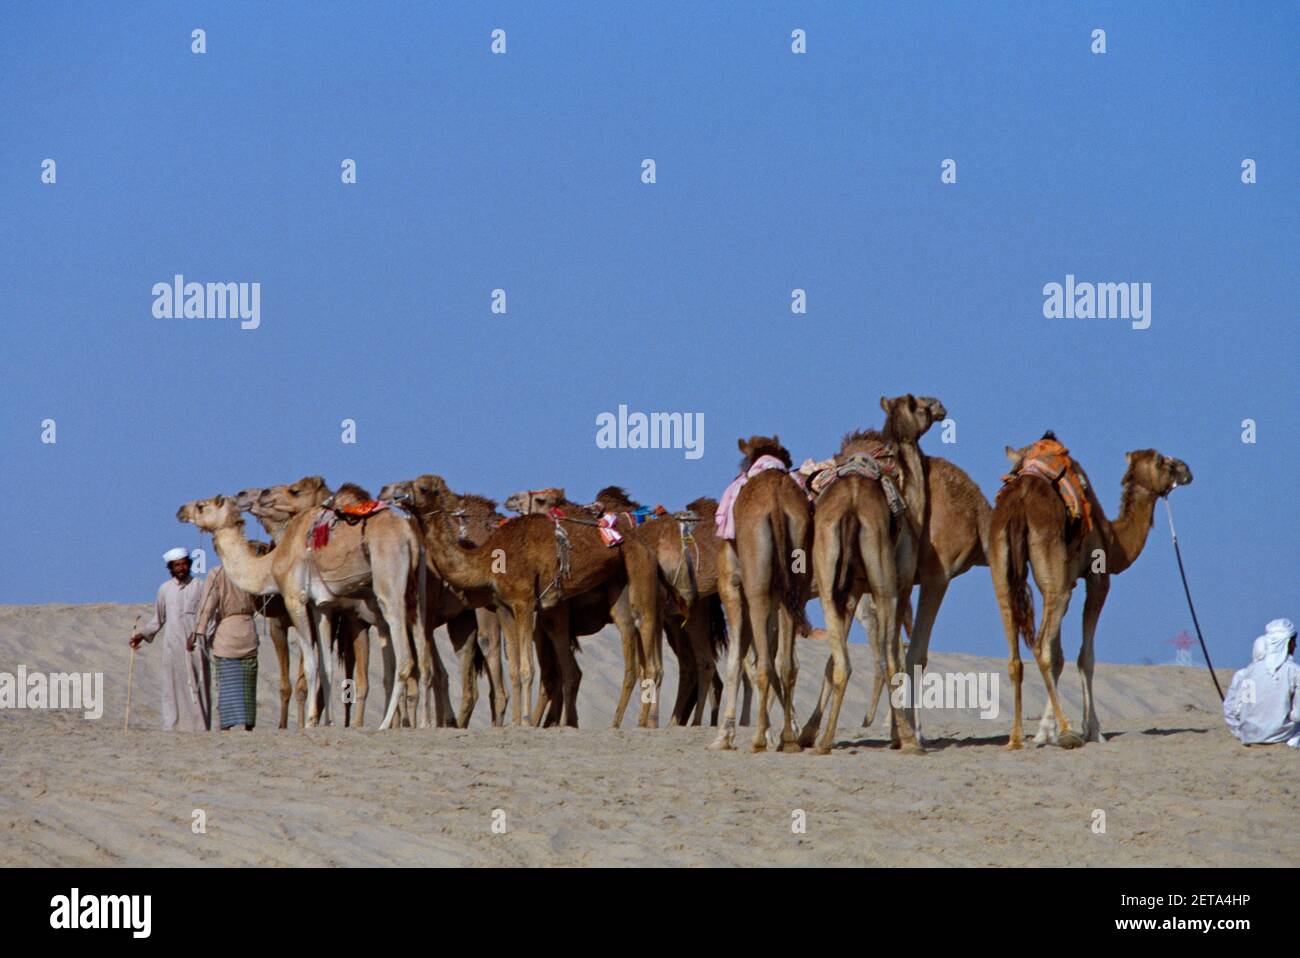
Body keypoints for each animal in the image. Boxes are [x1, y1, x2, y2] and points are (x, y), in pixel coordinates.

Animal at [177, 483, 427, 729]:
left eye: (202, 506)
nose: (181, 510)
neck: (272, 563)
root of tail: (409, 536)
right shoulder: (321, 605)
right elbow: (326, 667)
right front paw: (326, 722)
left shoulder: (294, 598)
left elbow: (310, 665)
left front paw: (309, 721)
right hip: (416, 595)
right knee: (422, 659)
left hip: (389, 581)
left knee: (404, 658)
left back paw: (385, 724)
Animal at [709, 435, 811, 752]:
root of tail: (777, 502)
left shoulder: (731, 586)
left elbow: (734, 664)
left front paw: (724, 736)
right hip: (795, 580)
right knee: (785, 664)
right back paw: (788, 739)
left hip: (755, 585)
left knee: (763, 664)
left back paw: (758, 740)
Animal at [990, 438, 1192, 748]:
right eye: (1165, 461)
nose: (1187, 469)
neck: (1113, 538)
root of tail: (1020, 501)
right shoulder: (1097, 579)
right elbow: (1084, 657)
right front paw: (1092, 730)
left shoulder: (1061, 583)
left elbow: (1059, 655)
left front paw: (1045, 732)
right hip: (1056, 577)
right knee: (1039, 648)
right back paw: (1068, 732)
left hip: (1002, 566)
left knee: (1017, 655)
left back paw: (1015, 739)